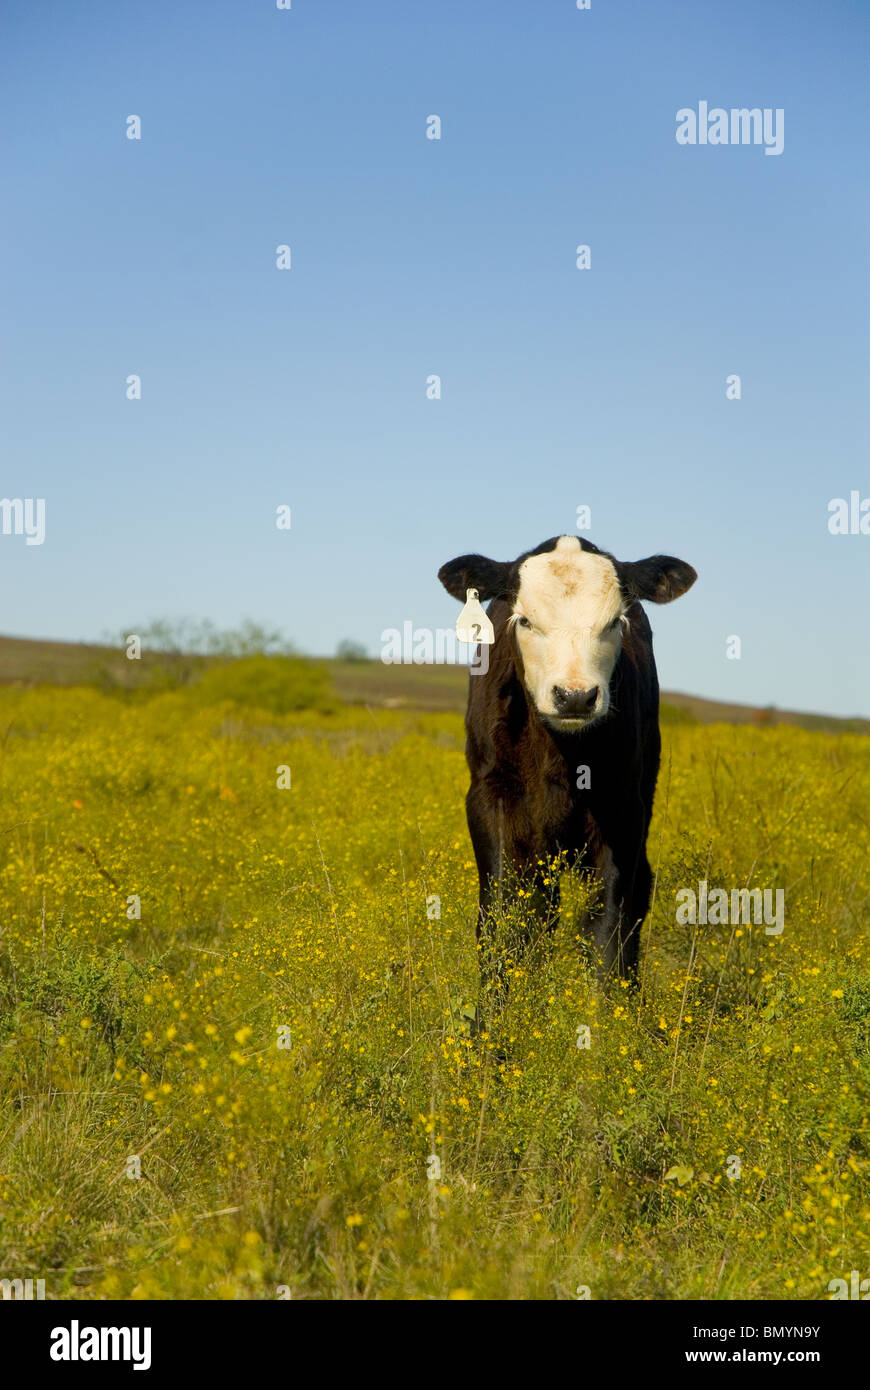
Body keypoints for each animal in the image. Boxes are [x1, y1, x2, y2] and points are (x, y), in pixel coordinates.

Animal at [438, 534, 697, 1010]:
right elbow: (506, 915)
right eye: (524, 620)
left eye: (614, 622)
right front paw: (494, 1023)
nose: (575, 696)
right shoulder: (489, 796)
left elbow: (607, 924)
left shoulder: (624, 808)